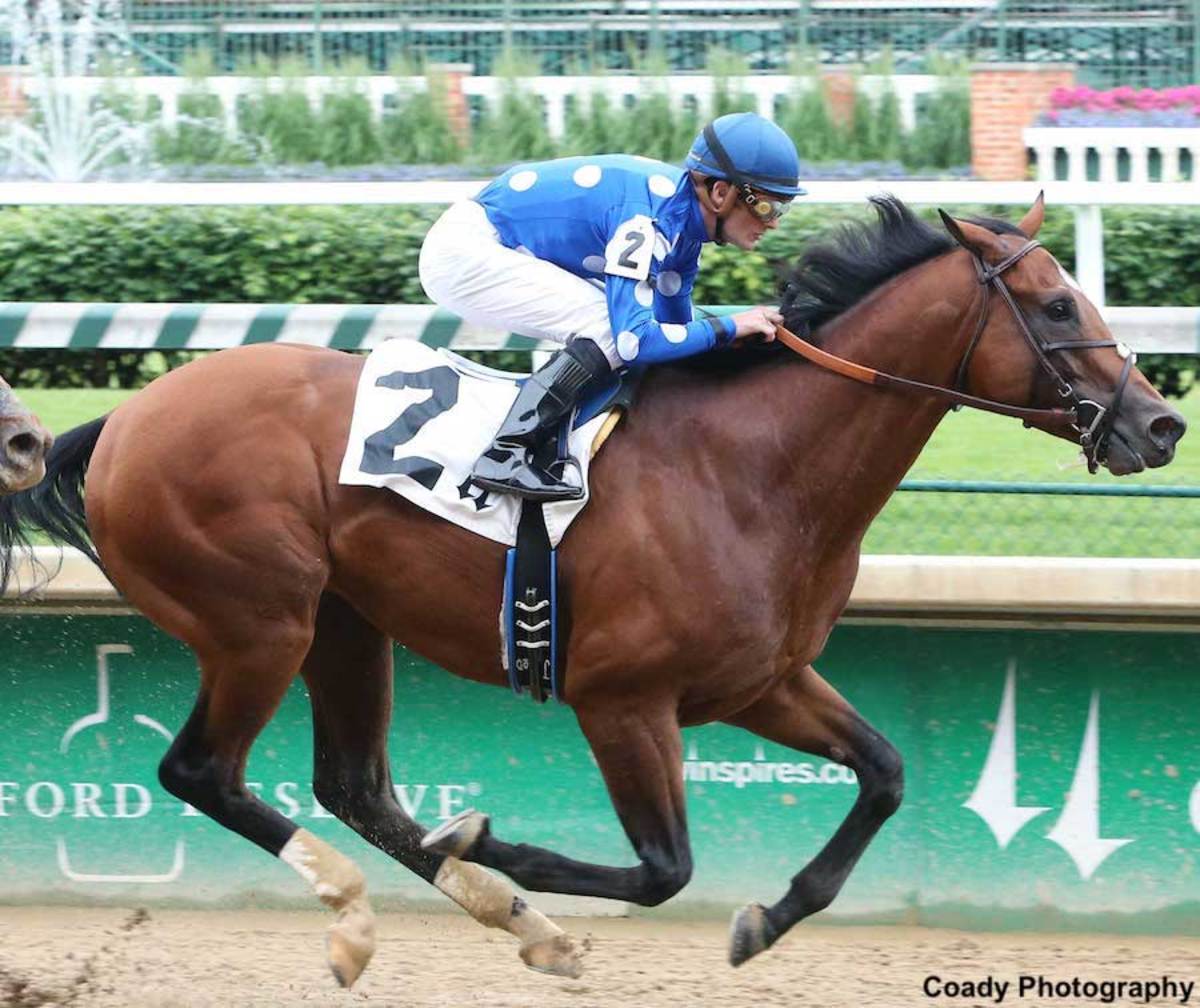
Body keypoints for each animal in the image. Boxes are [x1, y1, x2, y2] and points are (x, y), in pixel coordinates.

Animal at [0, 196, 1185, 986]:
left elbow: (886, 776)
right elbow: (663, 869)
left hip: (345, 622)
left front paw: (767, 919)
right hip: (258, 620)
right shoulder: (622, 701)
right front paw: (489, 840)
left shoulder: (763, 682)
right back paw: (363, 914)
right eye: (1053, 304)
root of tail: (127, 418)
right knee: (202, 770)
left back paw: (521, 921)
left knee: (355, 786)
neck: (757, 467)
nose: (1162, 421)